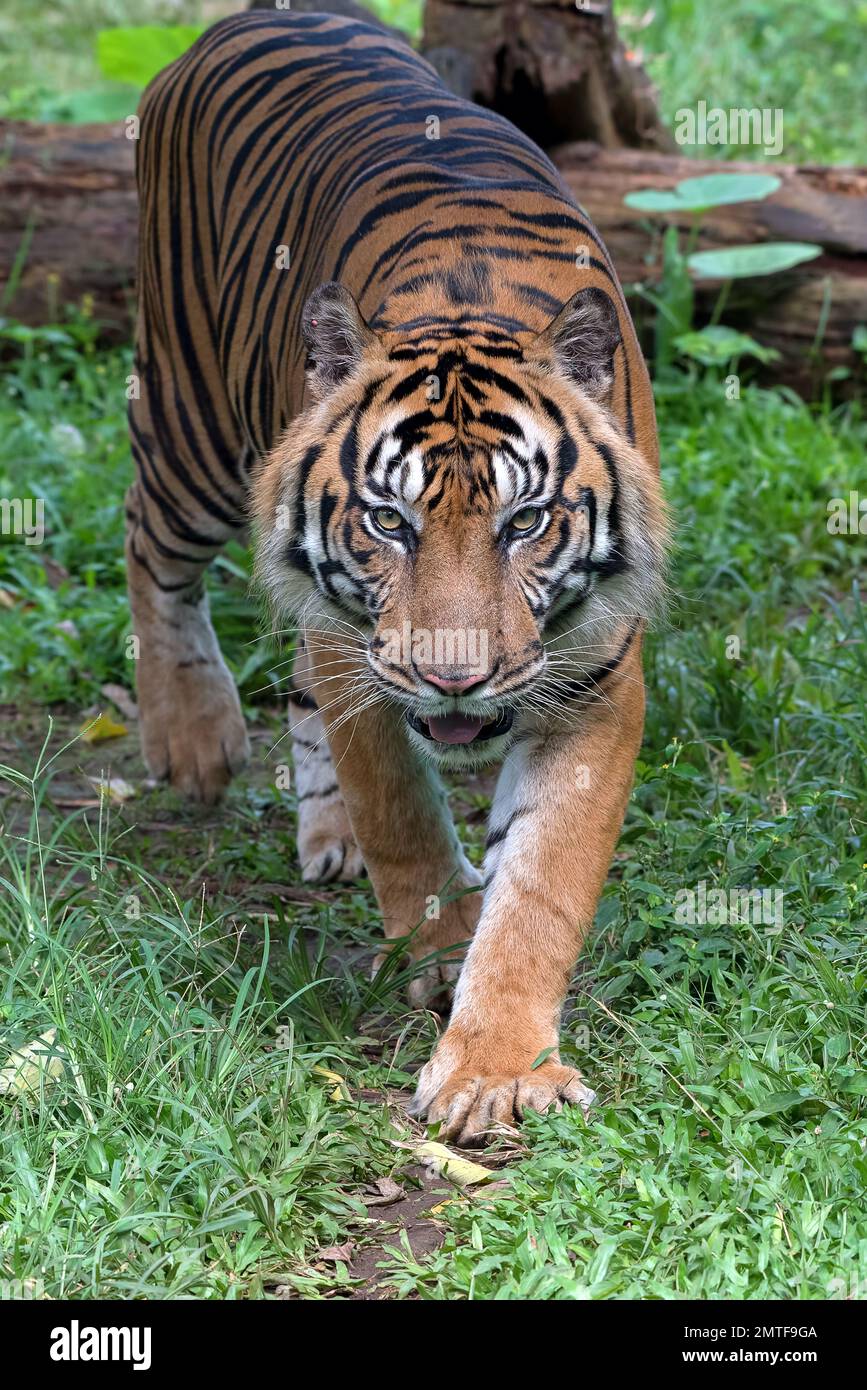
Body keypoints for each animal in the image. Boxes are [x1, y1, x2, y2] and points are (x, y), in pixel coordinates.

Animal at [125, 9, 667, 1145]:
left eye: (524, 523)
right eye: (389, 521)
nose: (454, 680)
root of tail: (258, 16)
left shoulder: (596, 683)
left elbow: (541, 885)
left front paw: (496, 1065)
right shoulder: (357, 653)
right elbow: (405, 815)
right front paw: (441, 943)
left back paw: (323, 833)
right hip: (193, 431)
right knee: (147, 537)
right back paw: (192, 732)